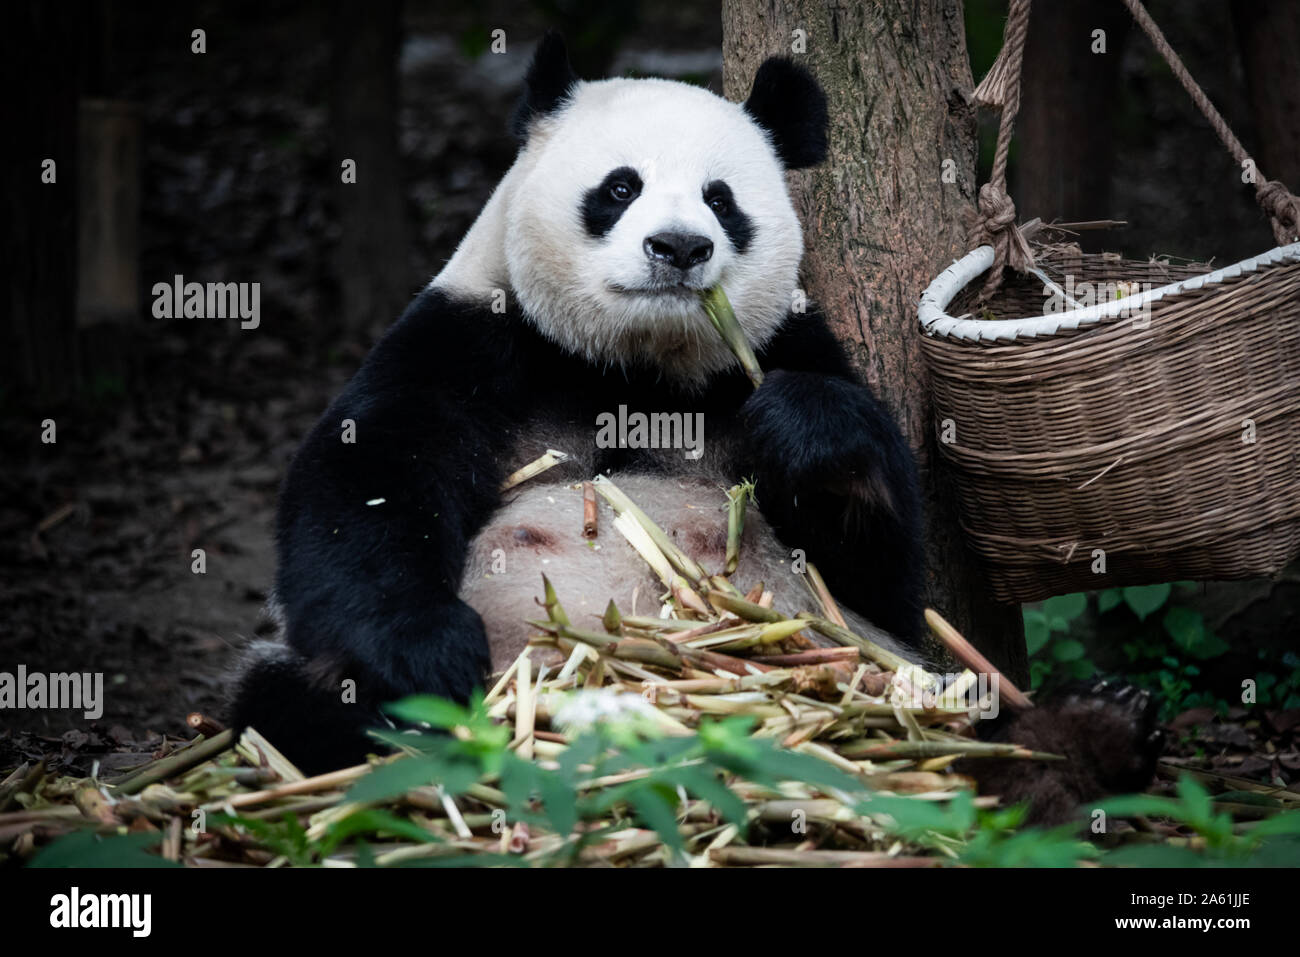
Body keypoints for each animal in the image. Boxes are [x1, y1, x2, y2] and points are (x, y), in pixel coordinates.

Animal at [231, 33, 1161, 823]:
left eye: (722, 199)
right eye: (620, 187)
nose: (679, 247)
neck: (633, 366)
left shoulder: (787, 347)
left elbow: (882, 572)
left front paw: (803, 432)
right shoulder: (470, 342)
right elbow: (364, 488)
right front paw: (429, 651)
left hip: (879, 671)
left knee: (951, 717)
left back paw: (1089, 729)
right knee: (294, 708)